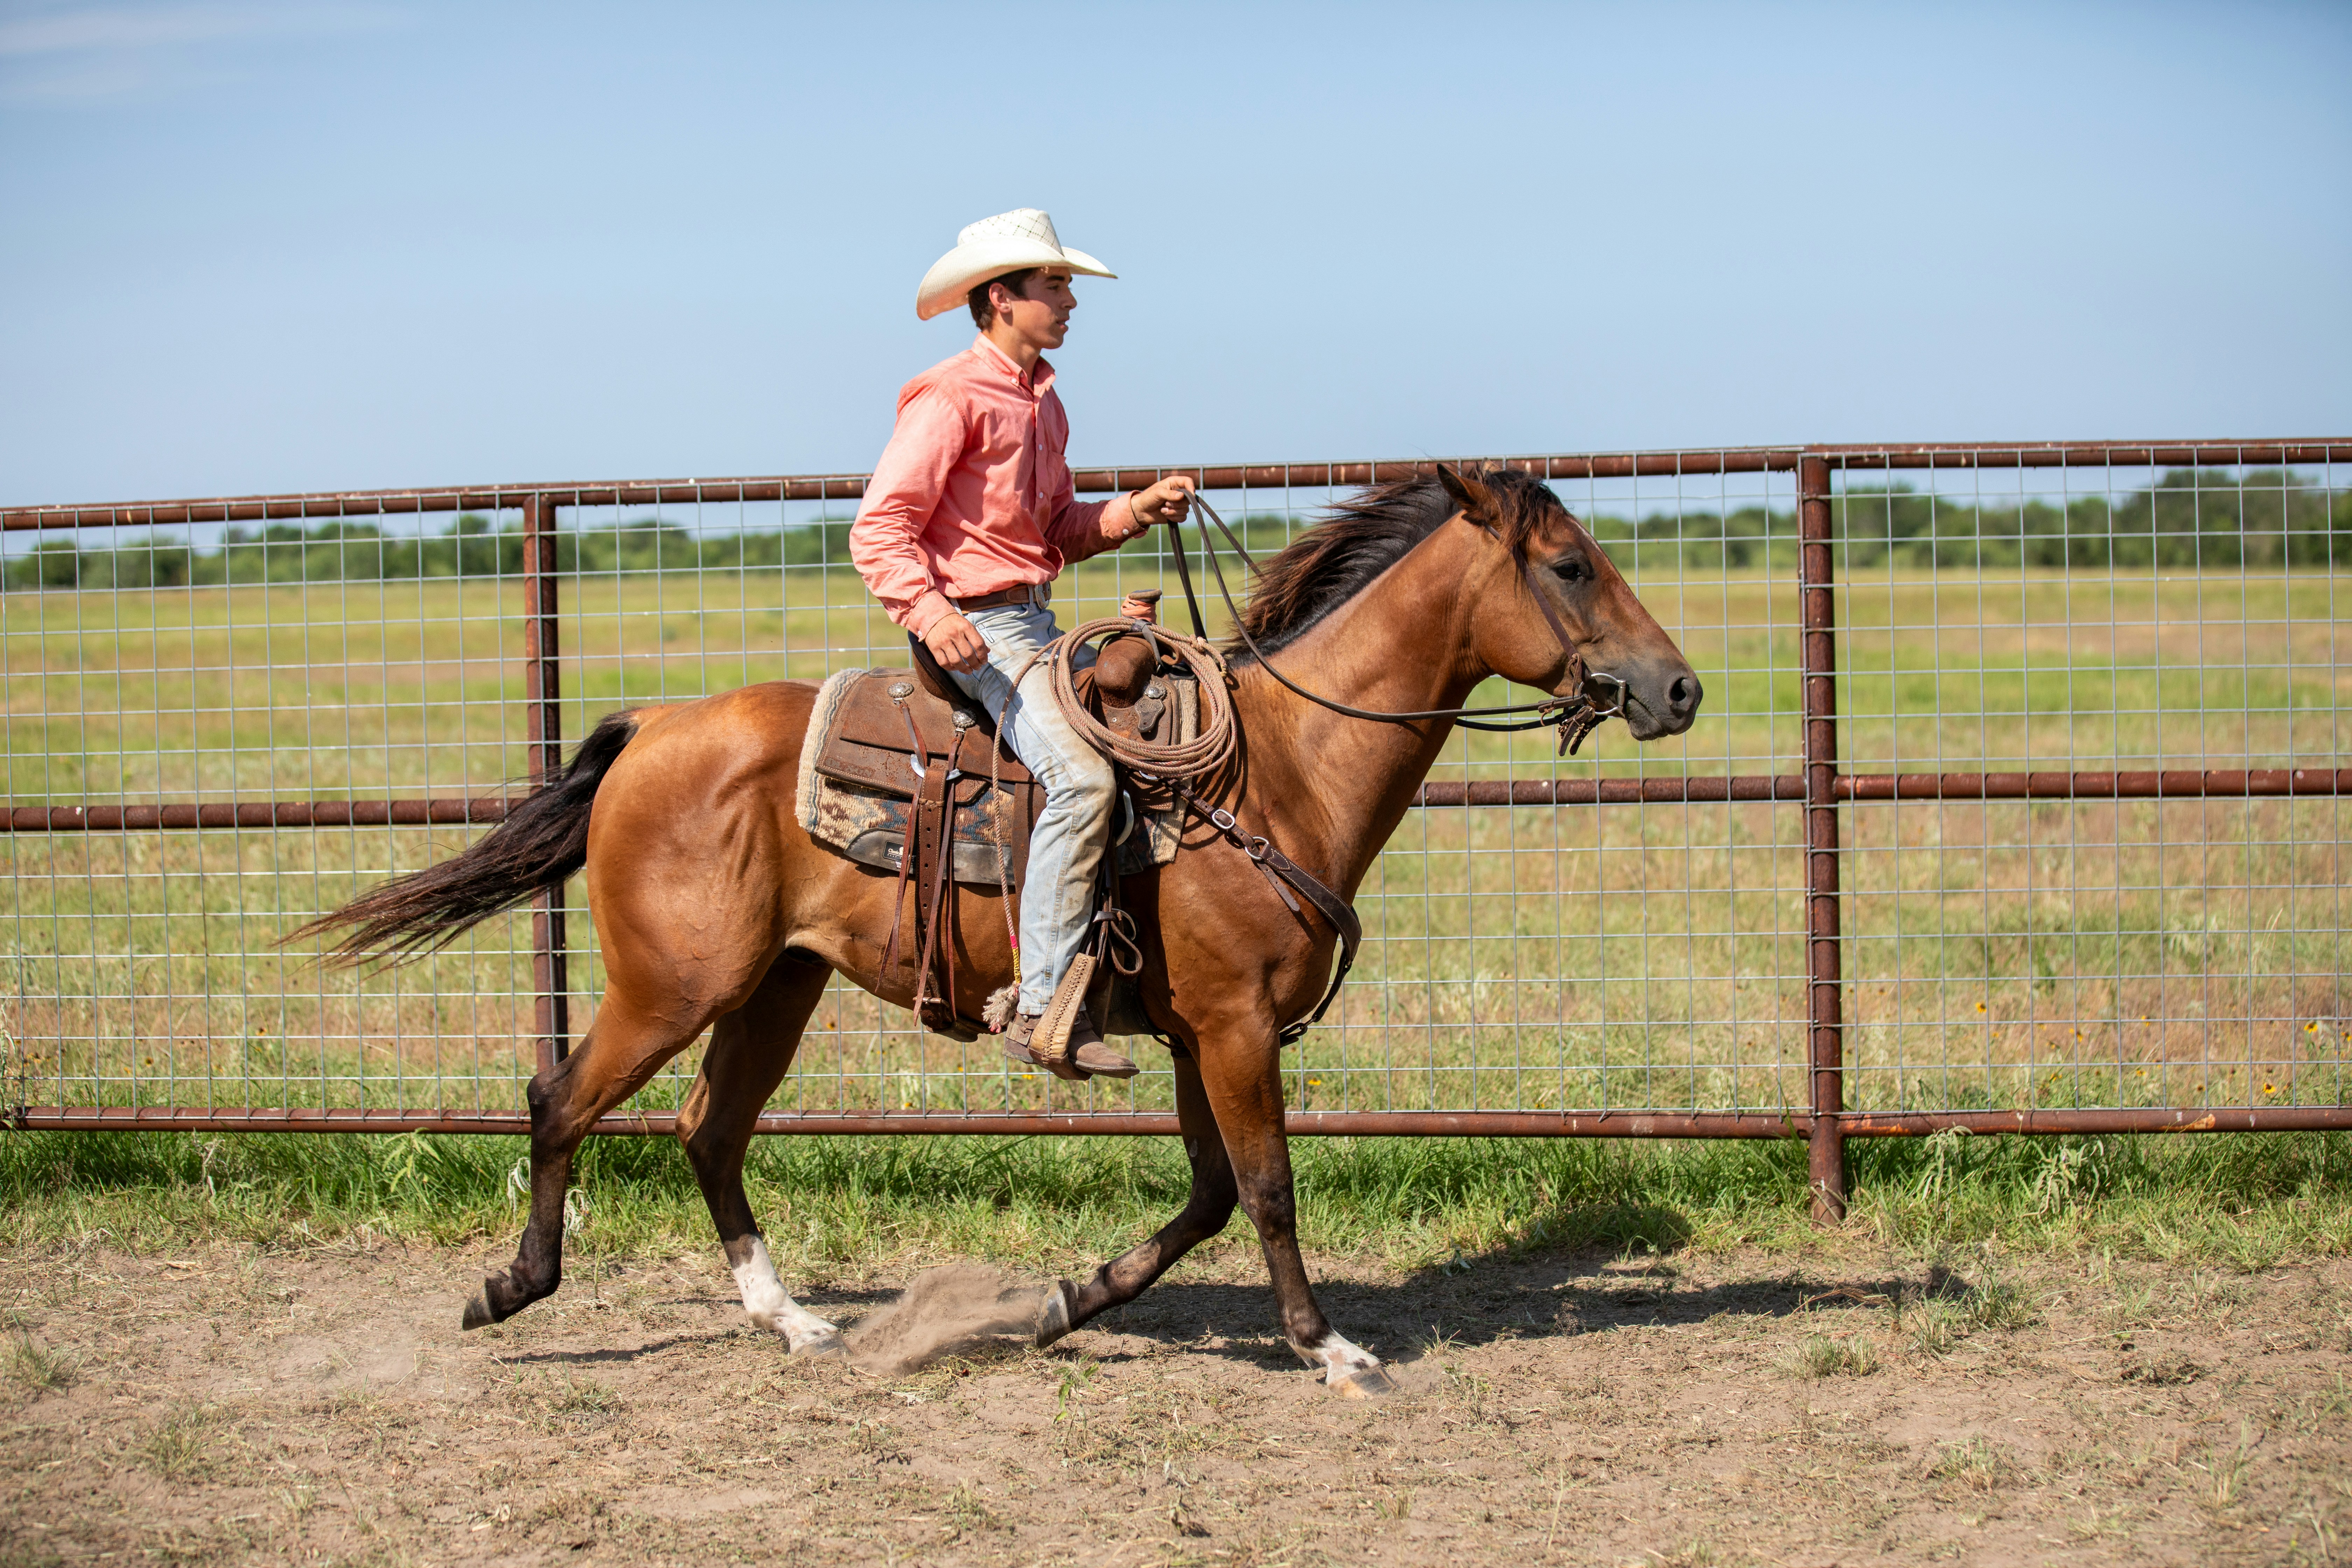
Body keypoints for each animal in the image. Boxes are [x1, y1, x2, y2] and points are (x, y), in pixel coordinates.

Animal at [302, 463, 1701, 1395]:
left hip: (773, 988)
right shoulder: (1237, 1029)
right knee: (563, 1102)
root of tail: (654, 726)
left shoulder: (1194, 1035)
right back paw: (510, 1288)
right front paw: (1328, 1346)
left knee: (709, 1129)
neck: (1278, 770)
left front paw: (1061, 1303)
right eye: (1568, 566)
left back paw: (792, 1320)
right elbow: (1266, 1189)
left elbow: (1206, 1194)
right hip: (671, 985)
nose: (1677, 687)